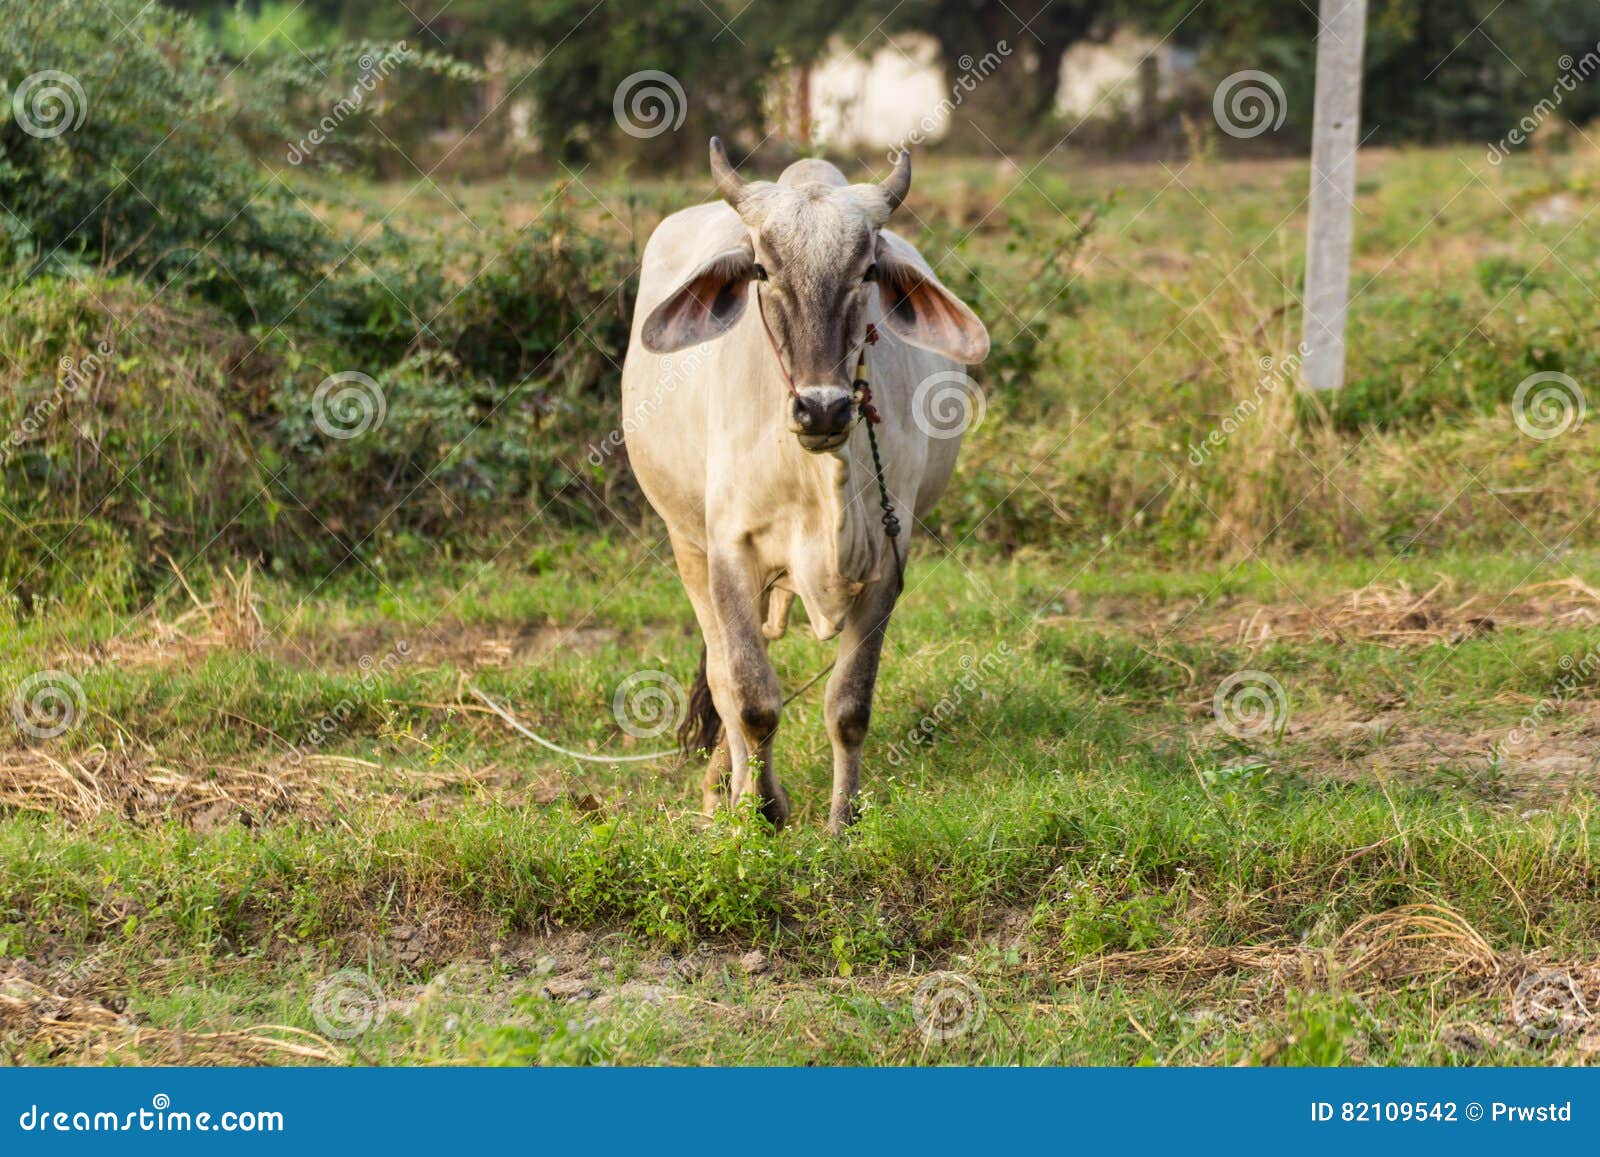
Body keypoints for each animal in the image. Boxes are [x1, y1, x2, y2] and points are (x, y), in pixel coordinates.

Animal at [621, 138, 989, 833]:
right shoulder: (728, 552)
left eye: (867, 271)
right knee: (722, 679)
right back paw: (725, 791)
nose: (823, 410)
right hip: (686, 543)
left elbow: (849, 705)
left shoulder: (889, 561)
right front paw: (761, 810)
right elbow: (750, 697)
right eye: (763, 270)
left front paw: (844, 819)